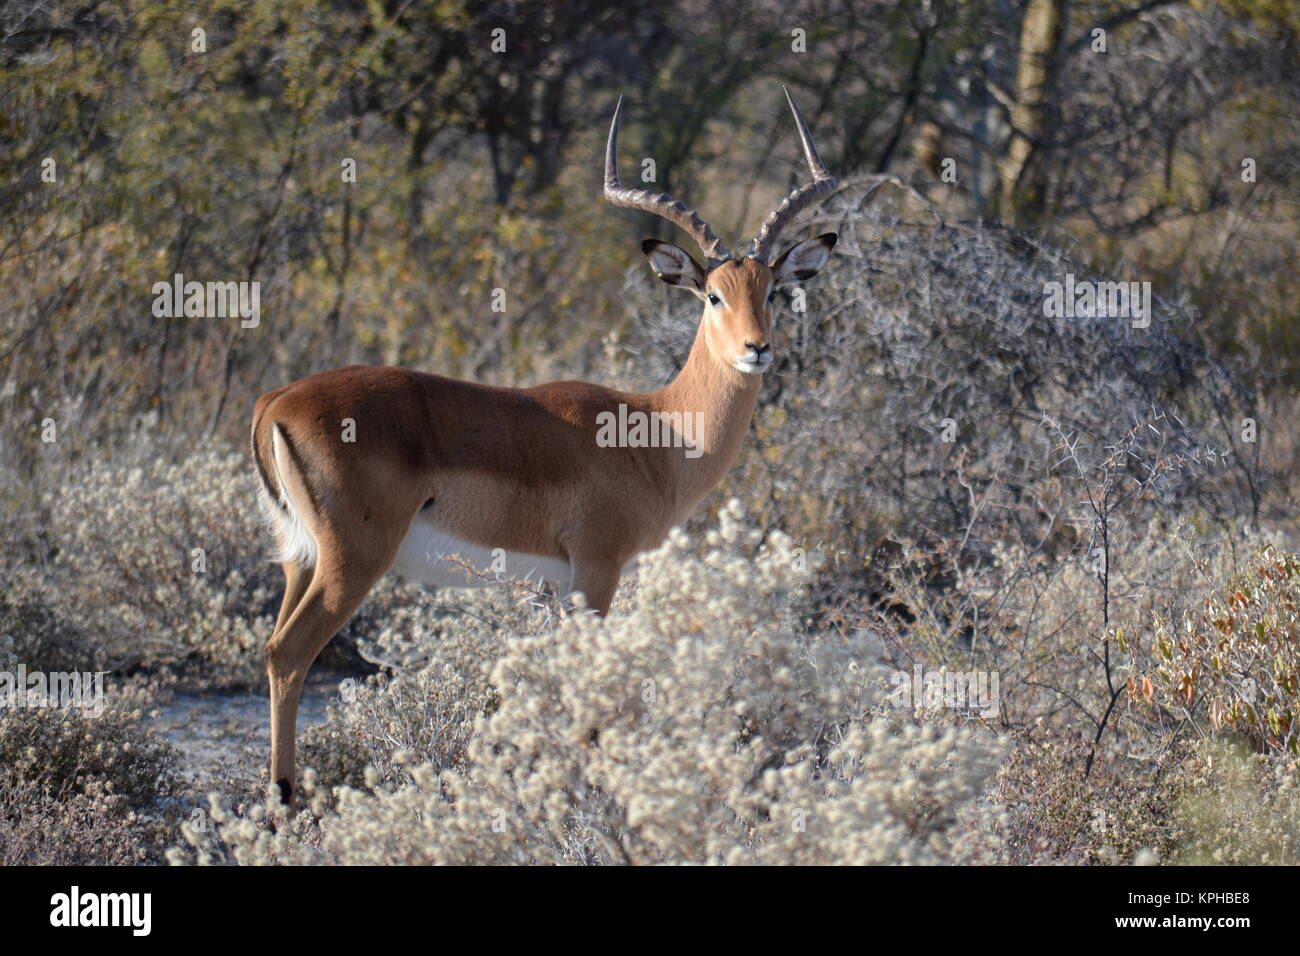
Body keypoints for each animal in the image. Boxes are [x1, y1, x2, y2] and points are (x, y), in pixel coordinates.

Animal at [250, 89, 838, 804]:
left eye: (773, 290)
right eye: (712, 294)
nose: (759, 348)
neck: (658, 433)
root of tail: (275, 402)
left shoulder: (554, 585)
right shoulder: (596, 570)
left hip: (299, 558)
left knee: (275, 649)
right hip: (352, 562)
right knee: (288, 653)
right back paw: (283, 802)